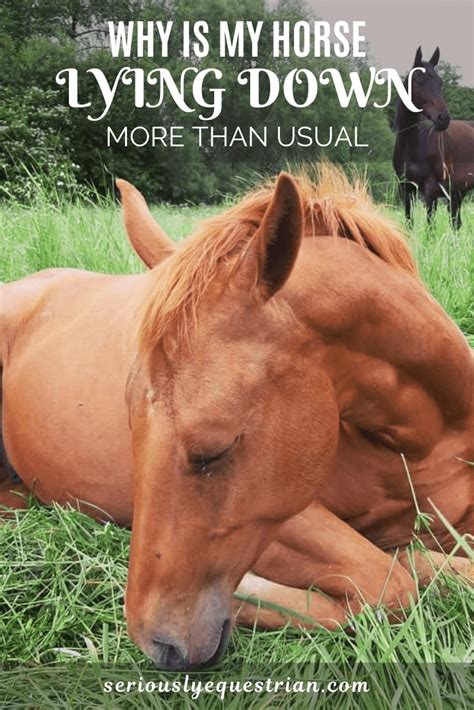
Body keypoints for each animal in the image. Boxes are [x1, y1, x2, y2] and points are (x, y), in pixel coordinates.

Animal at [393, 46, 474, 228]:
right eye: (419, 80)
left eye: (440, 83)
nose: (443, 118)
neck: (413, 143)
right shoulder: (406, 189)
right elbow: (409, 223)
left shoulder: (431, 191)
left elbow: (430, 227)